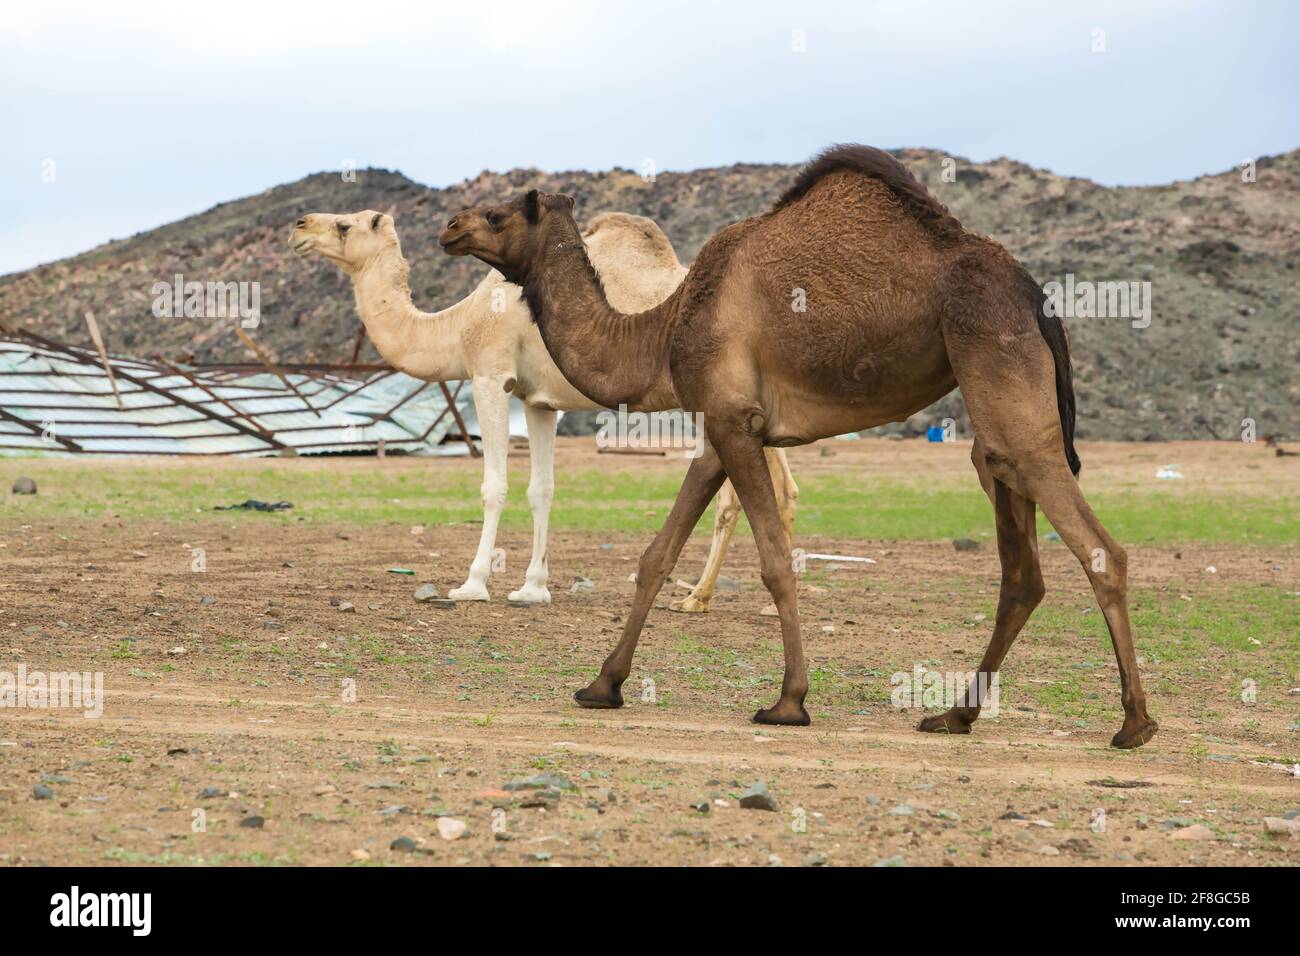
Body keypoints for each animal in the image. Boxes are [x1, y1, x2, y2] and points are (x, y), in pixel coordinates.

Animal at [289, 209, 796, 609]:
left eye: (345, 224)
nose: (299, 226)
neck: (460, 324)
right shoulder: (538, 402)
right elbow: (542, 490)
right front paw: (533, 588)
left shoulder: (490, 377)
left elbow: (494, 486)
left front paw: (472, 583)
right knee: (780, 488)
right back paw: (722, 598)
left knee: (742, 495)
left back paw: (712, 598)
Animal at [438, 144, 1157, 750]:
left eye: (498, 213)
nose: (450, 226)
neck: (665, 328)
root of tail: (1036, 294)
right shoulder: (720, 427)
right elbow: (656, 555)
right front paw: (601, 684)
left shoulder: (734, 420)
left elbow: (777, 561)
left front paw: (788, 701)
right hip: (993, 419)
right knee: (1020, 565)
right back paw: (956, 714)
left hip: (999, 367)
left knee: (1099, 547)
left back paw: (1134, 723)